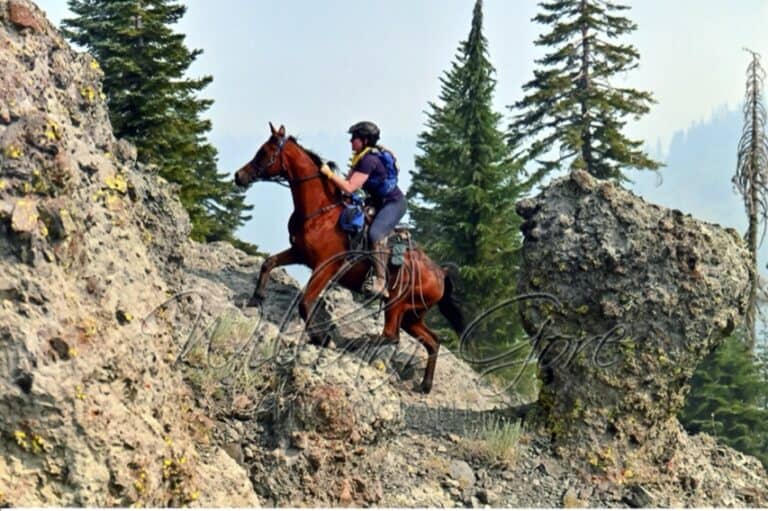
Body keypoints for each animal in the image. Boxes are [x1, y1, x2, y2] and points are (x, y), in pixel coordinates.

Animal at [233, 123, 464, 393]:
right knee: (432, 341)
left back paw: (356, 343)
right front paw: (256, 298)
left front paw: (322, 338)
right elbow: (268, 263)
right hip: (412, 315)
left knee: (391, 334)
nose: (239, 176)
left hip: (397, 303)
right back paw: (425, 385)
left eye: (264, 153)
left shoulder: (325, 267)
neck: (320, 212)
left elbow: (304, 303)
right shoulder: (299, 253)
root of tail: (441, 273)